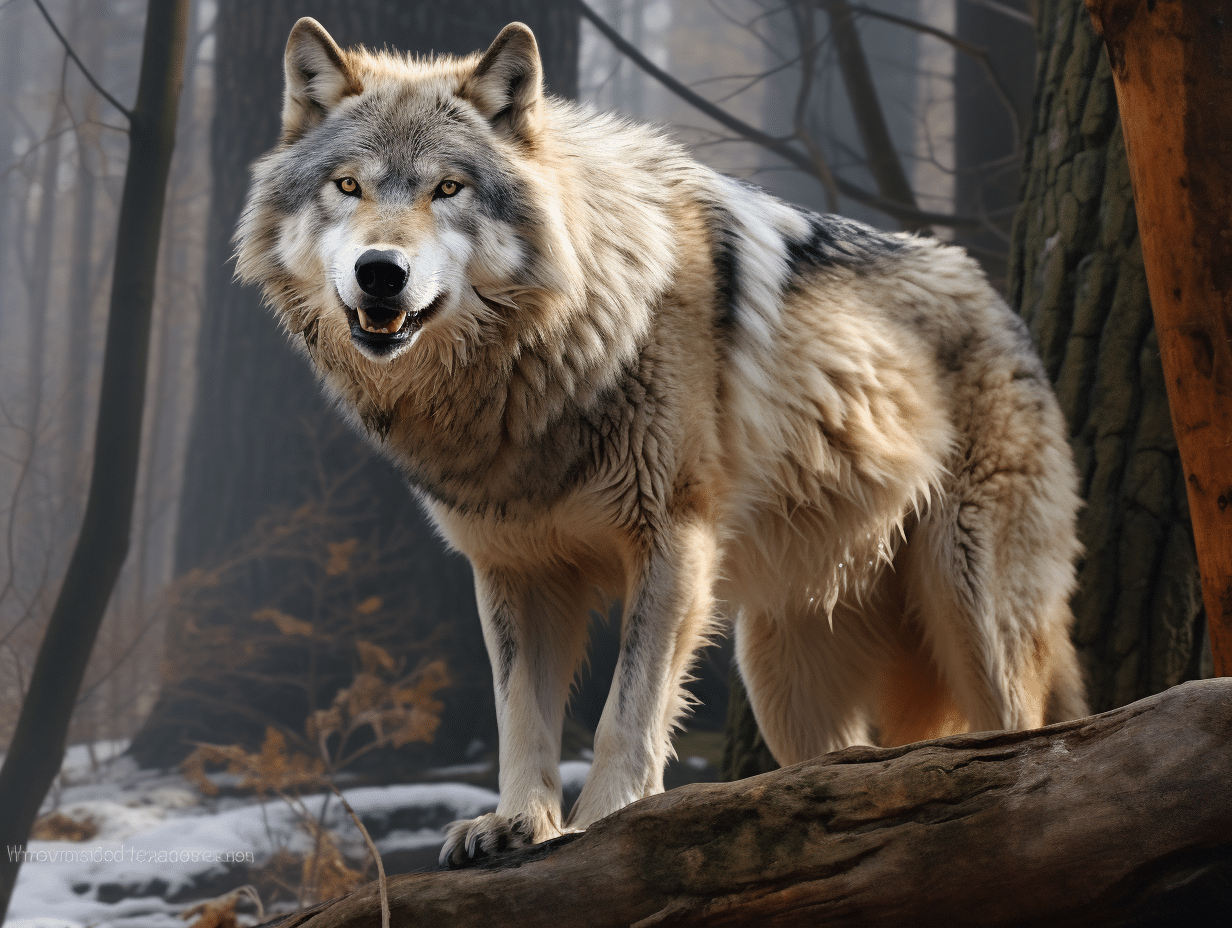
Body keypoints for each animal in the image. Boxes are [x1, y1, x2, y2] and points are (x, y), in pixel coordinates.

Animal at [235, 18, 1087, 865]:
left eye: (448, 188)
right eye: (348, 186)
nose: (380, 272)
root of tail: (1003, 307)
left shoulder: (672, 539)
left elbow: (628, 709)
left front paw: (606, 820)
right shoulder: (515, 568)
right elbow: (521, 716)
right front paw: (516, 823)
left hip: (972, 614)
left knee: (1023, 736)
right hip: (780, 674)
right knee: (850, 770)